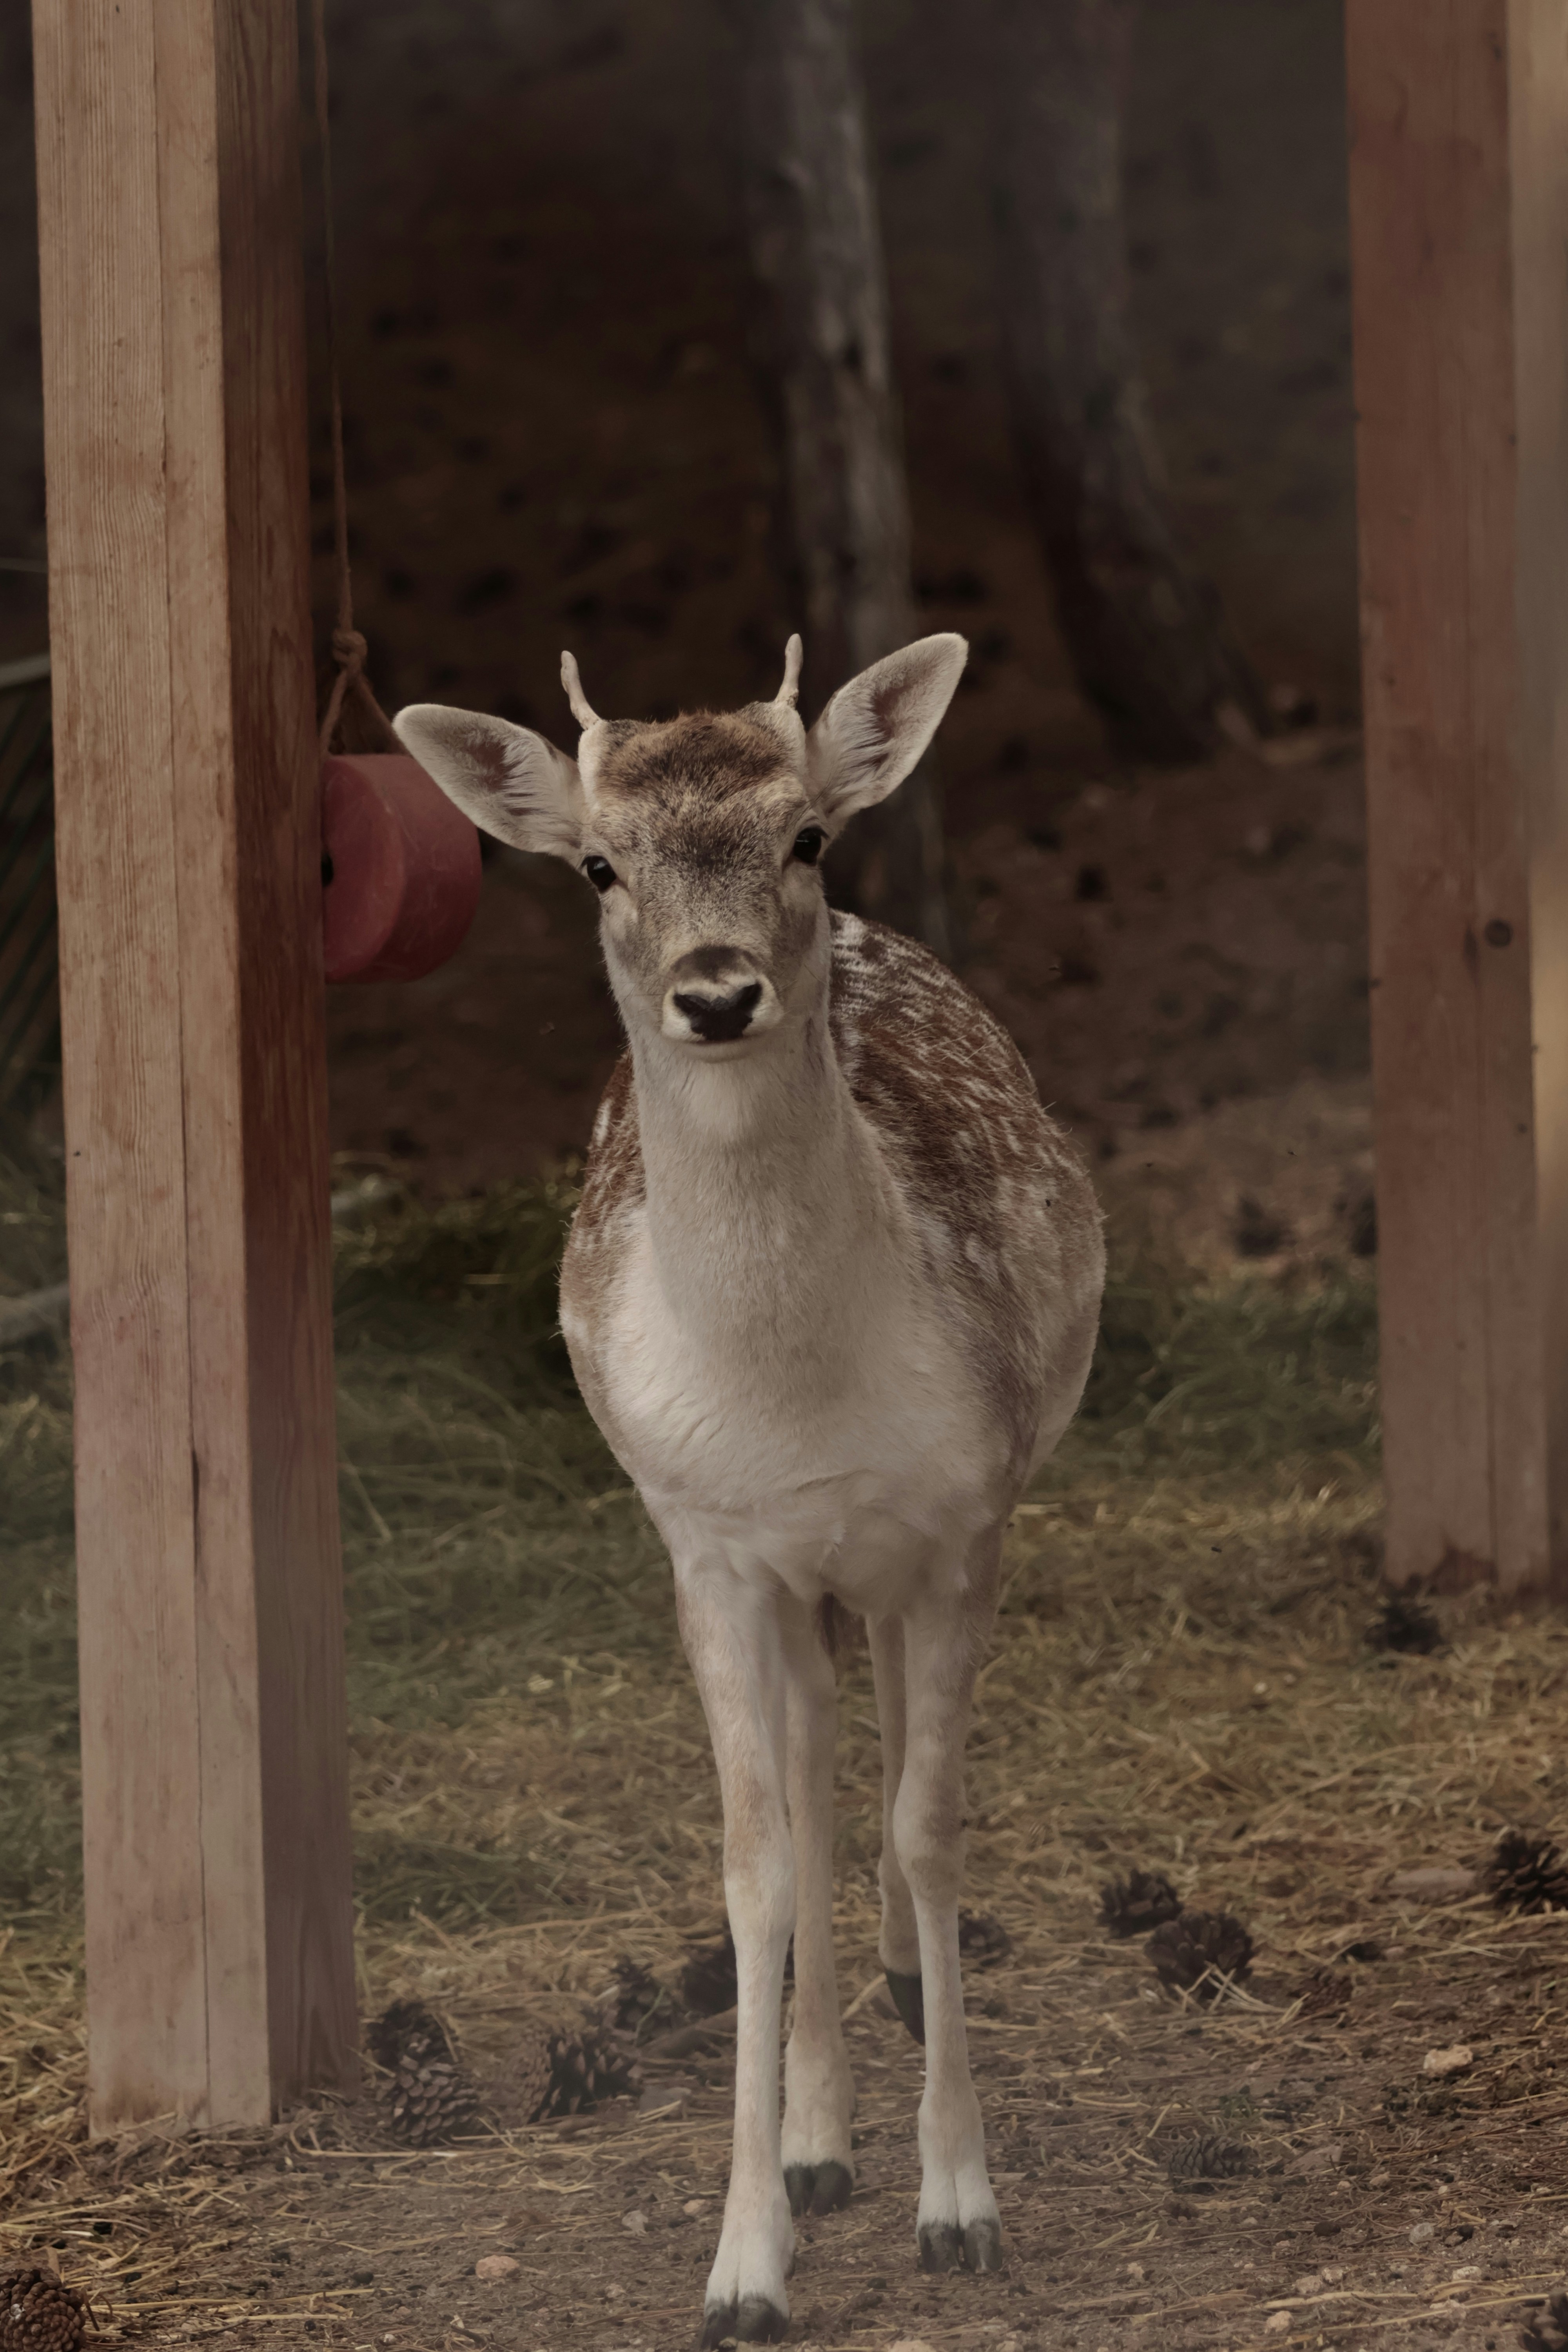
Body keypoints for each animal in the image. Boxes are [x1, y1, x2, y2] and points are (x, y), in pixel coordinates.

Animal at [395, 632, 1104, 2347]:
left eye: (805, 835)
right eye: (596, 865)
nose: (715, 993)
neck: (798, 1402)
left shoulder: (960, 1524)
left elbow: (933, 1823)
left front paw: (961, 2205)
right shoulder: (707, 1547)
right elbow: (756, 1864)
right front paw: (743, 2266)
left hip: (898, 1559)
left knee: (890, 1771)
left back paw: (894, 2038)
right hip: (791, 1582)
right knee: (822, 1772)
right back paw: (816, 2138)